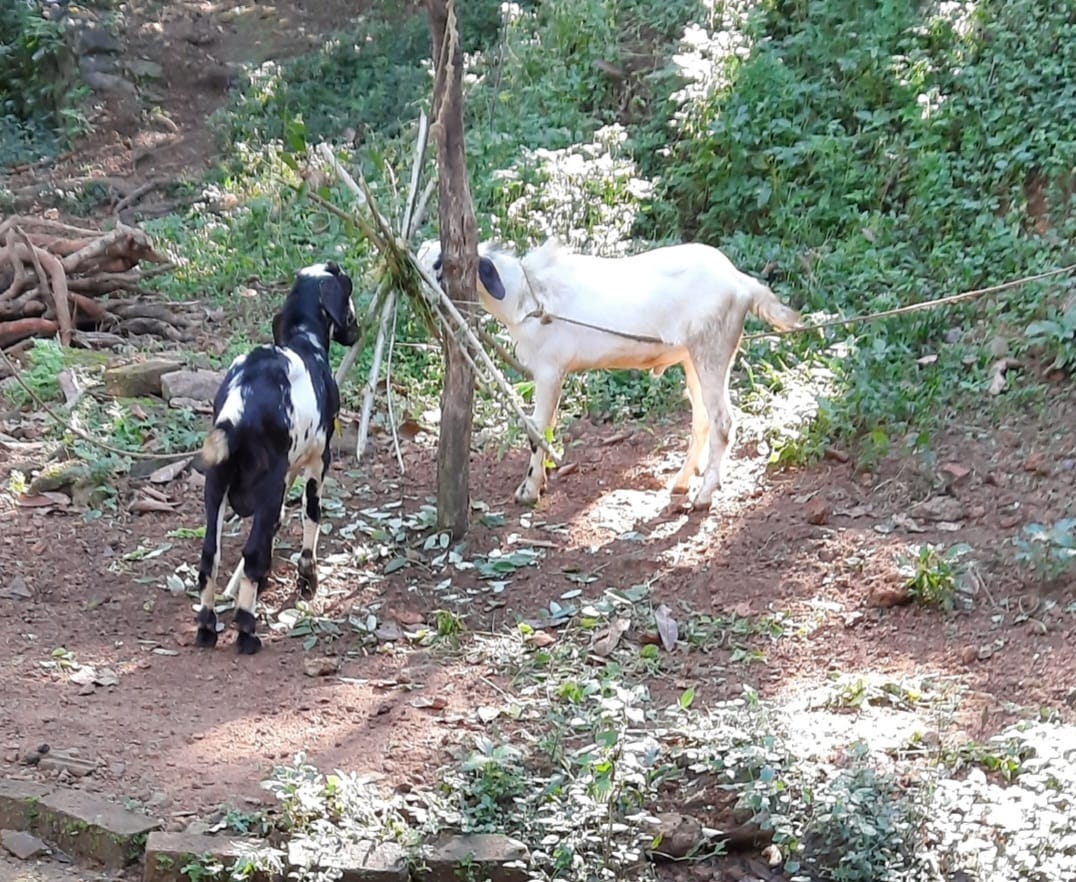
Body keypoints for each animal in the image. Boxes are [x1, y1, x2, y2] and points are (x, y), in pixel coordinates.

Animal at [194, 261, 359, 654]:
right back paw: (246, 629)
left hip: (215, 486)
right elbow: (311, 517)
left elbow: (275, 527)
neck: (303, 342)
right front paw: (307, 579)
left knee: (210, 556)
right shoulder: (317, 462)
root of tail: (238, 409)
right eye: (348, 288)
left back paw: (207, 627)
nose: (357, 329)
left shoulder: (284, 478)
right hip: (267, 484)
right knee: (251, 551)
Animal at [423, 239, 800, 510]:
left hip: (712, 349)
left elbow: (536, 430)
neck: (527, 296)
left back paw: (704, 496)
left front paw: (528, 490)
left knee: (722, 422)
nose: (424, 292)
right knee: (703, 418)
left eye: (442, 264)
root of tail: (741, 282)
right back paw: (682, 480)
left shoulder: (549, 370)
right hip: (694, 358)